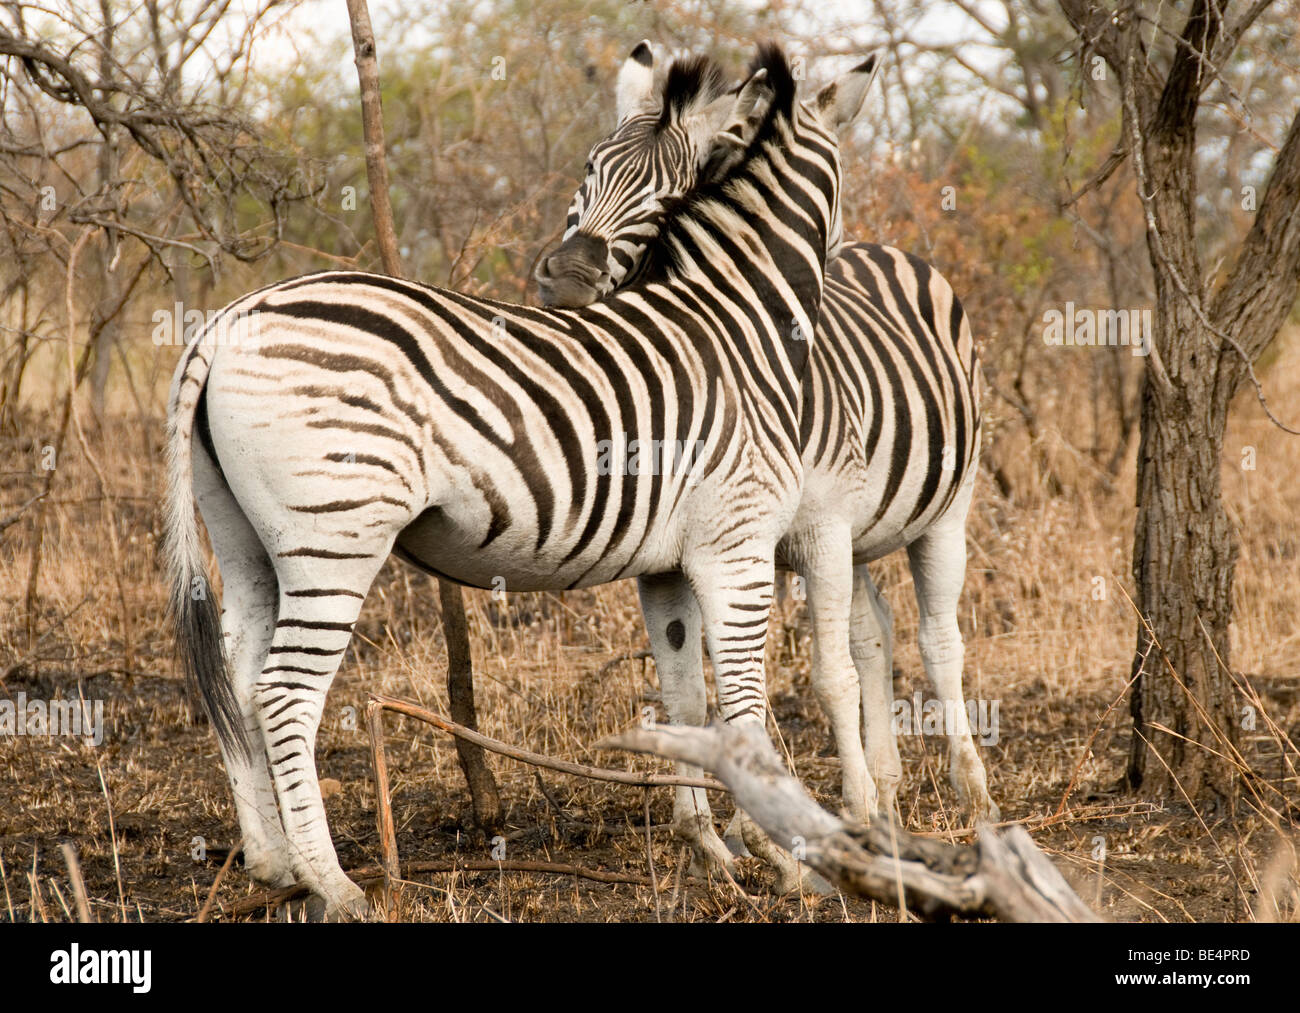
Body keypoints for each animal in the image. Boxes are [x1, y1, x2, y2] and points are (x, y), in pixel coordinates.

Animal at [164, 43, 878, 916]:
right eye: (592, 168)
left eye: (676, 182)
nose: (567, 273)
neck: (734, 319)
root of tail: (231, 318)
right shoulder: (735, 546)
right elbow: (743, 701)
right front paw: (785, 856)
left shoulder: (670, 564)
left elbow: (683, 697)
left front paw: (713, 846)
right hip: (335, 534)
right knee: (284, 693)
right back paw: (333, 881)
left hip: (246, 539)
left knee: (234, 682)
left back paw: (272, 861)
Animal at [535, 42, 1000, 872]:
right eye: (591, 166)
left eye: (675, 189)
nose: (566, 276)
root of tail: (879, 248)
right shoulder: (714, 543)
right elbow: (703, 687)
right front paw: (730, 833)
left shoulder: (817, 529)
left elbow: (823, 674)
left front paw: (840, 815)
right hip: (859, 534)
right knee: (876, 635)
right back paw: (889, 789)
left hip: (947, 505)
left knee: (938, 640)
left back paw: (969, 794)